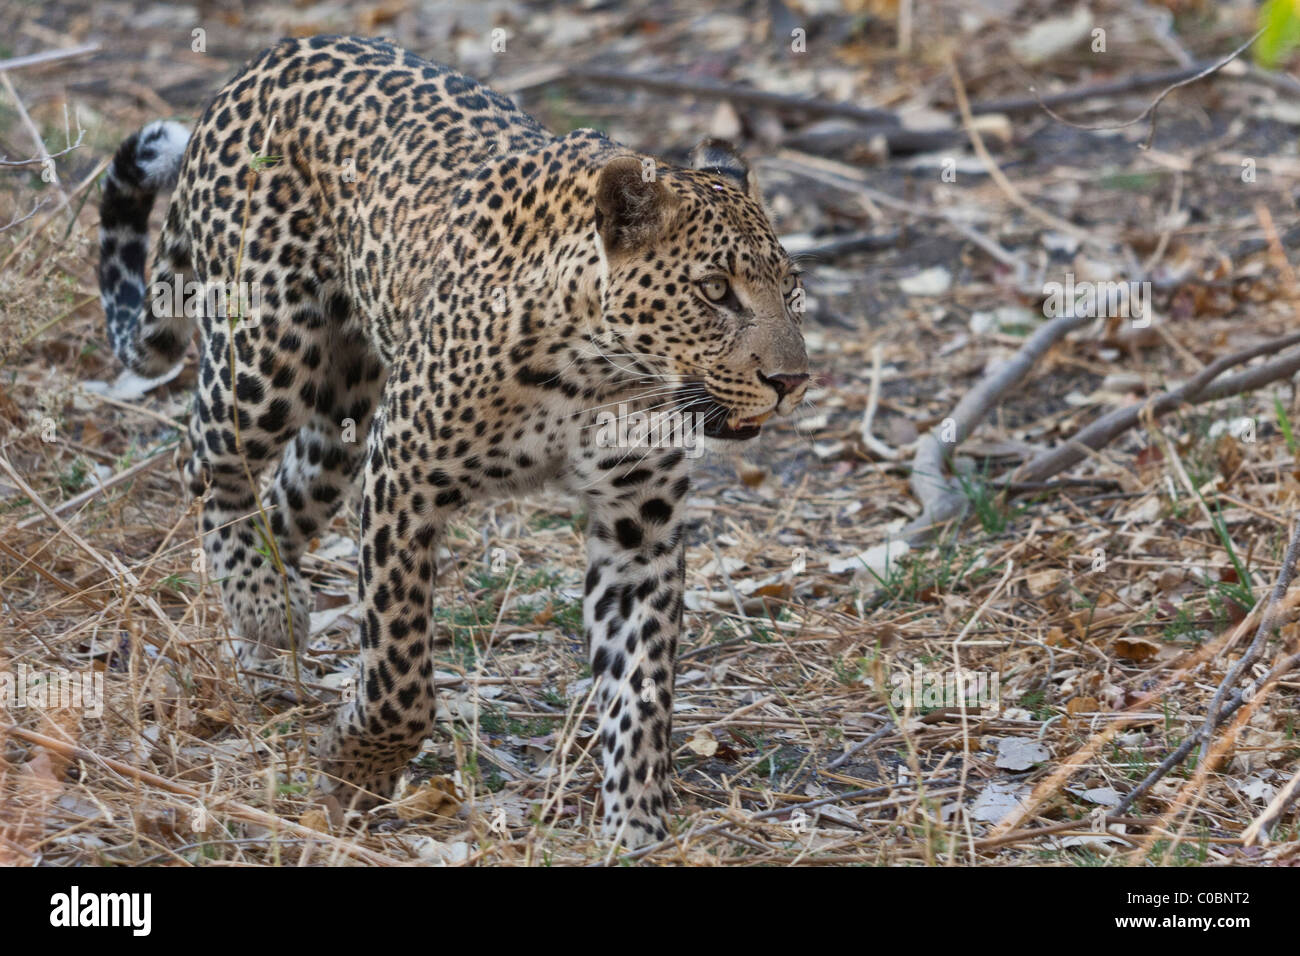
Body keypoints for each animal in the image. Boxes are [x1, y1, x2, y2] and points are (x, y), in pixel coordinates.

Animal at [97, 34, 809, 847]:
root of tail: (266, 60)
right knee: (209, 464)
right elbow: (399, 665)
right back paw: (261, 603)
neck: (598, 373)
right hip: (268, 354)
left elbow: (642, 684)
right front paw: (358, 767)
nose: (792, 380)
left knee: (283, 504)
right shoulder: (403, 474)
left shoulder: (640, 523)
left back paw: (267, 647)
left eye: (791, 290)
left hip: (342, 418)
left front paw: (636, 826)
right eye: (715, 291)